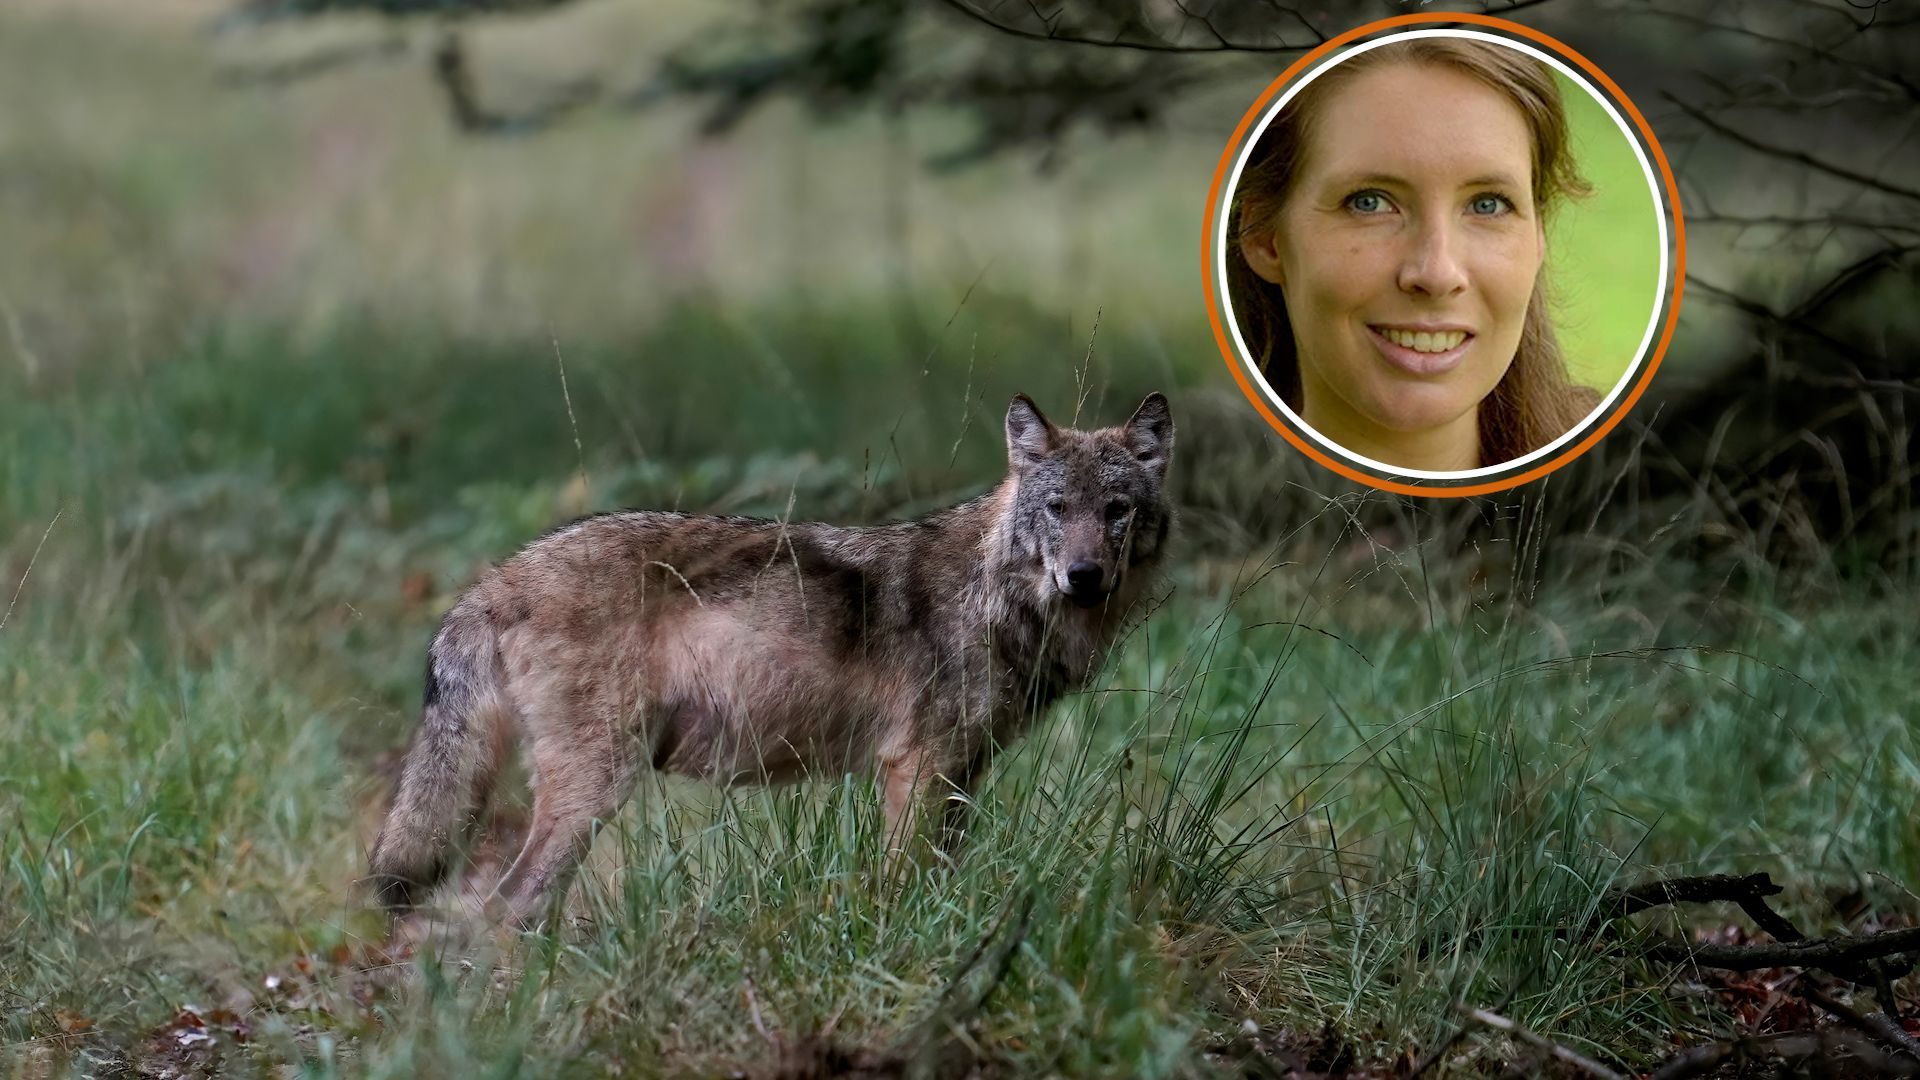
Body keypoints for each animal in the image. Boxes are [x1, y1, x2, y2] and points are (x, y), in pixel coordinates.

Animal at [367, 392, 1174, 925]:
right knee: (507, 908)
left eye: (1116, 511)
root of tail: (497, 578)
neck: (996, 594)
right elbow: (900, 885)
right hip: (595, 789)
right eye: (1058, 509)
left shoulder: (963, 774)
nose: (1085, 577)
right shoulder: (916, 767)